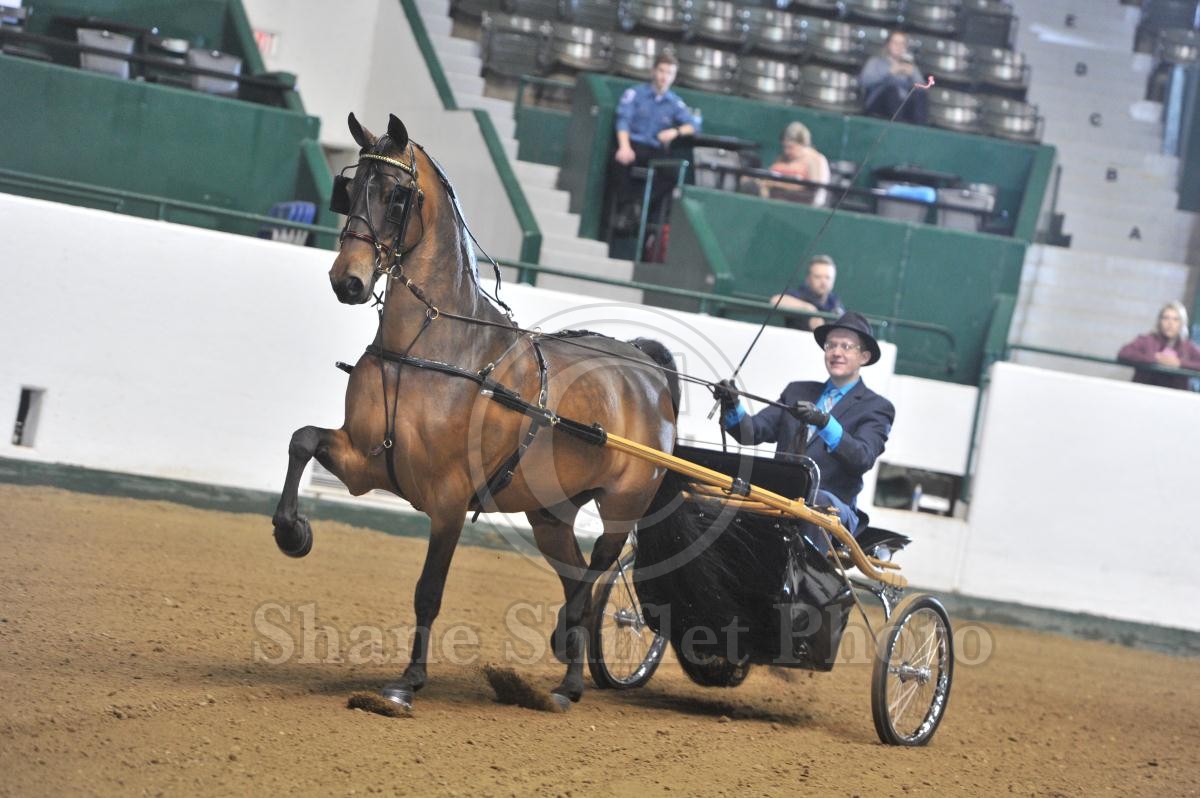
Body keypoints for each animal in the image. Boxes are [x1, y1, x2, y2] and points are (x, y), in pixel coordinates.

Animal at [270, 113, 680, 711]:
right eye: (350, 188)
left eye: (397, 195)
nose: (347, 281)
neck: (431, 349)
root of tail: (646, 370)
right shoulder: (363, 462)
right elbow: (302, 438)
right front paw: (292, 532)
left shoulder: (448, 499)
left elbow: (428, 591)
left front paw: (406, 683)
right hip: (550, 515)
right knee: (575, 579)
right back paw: (567, 685)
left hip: (622, 508)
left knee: (592, 583)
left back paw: (566, 646)